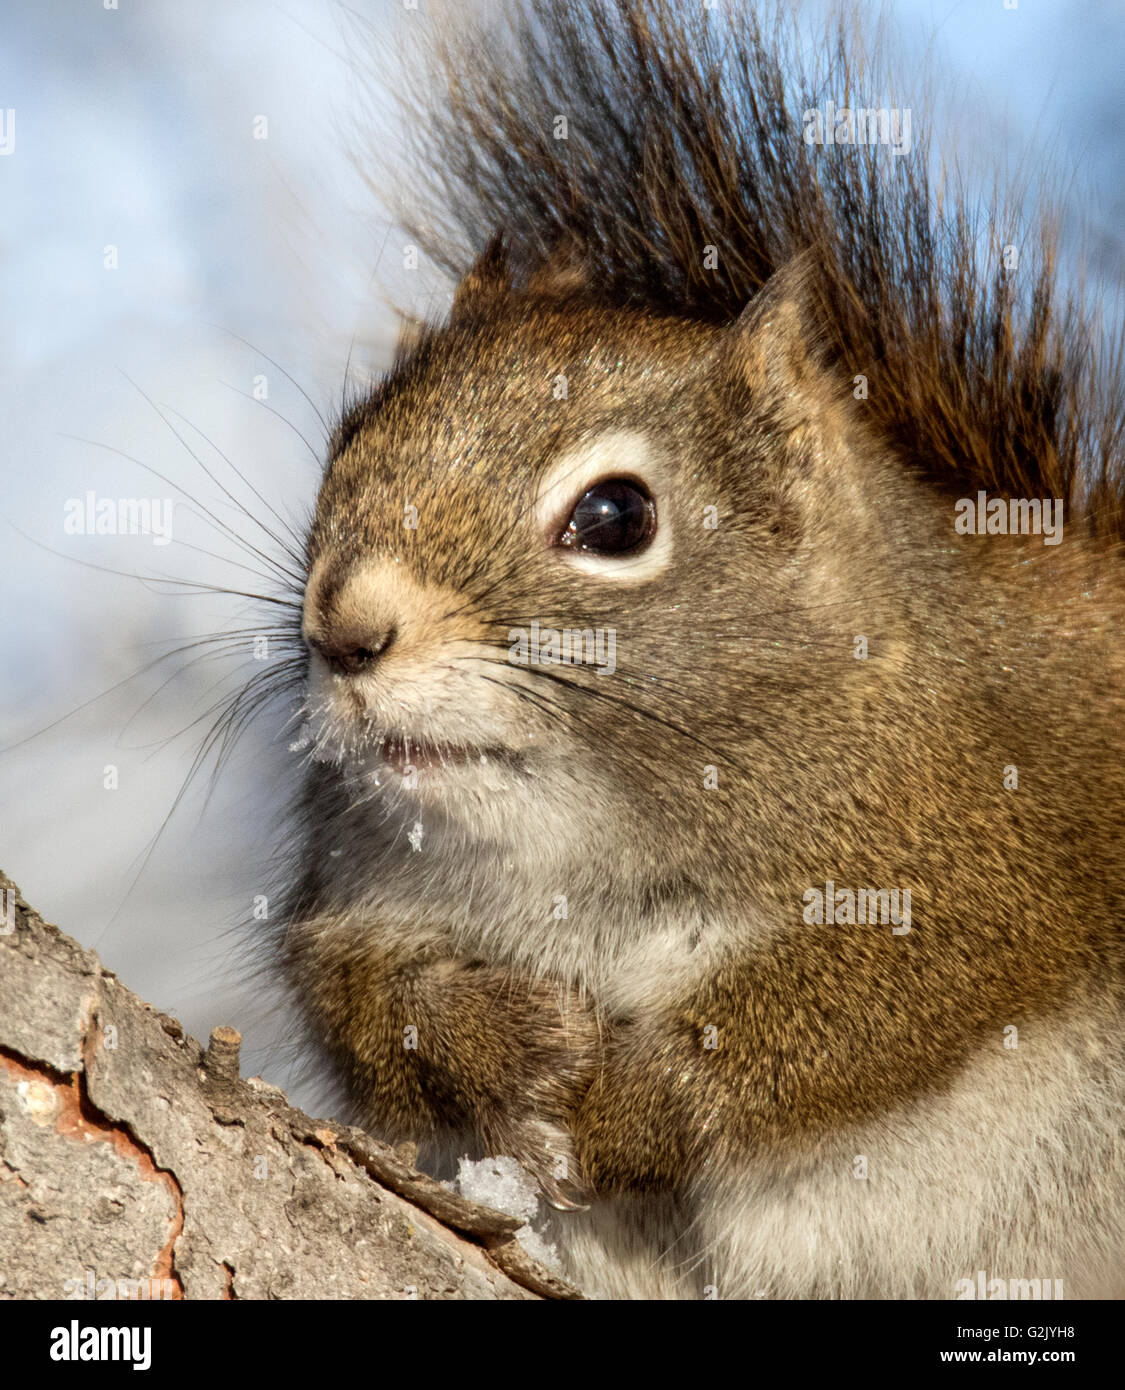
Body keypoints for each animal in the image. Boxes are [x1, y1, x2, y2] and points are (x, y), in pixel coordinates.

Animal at [274, 1, 1124, 1298]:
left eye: (616, 517)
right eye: (348, 435)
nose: (343, 629)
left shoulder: (988, 864)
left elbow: (866, 1018)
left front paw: (624, 1103)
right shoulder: (351, 887)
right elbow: (351, 992)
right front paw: (492, 1041)